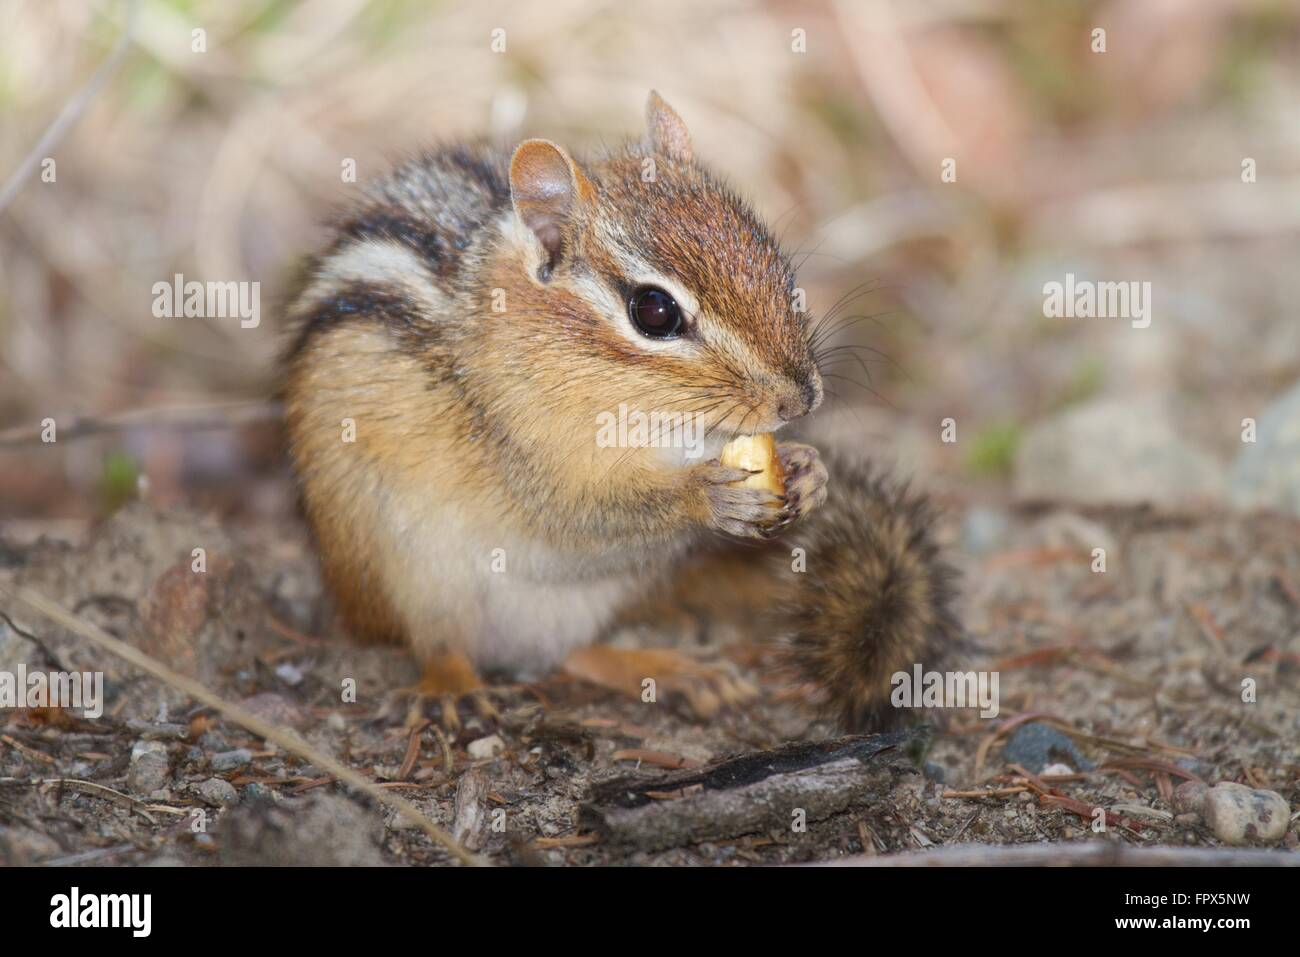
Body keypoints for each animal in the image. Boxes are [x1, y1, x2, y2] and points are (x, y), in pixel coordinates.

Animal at [281, 92, 959, 731]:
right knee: (439, 643)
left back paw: (672, 671)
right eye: (654, 312)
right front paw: (707, 496)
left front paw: (808, 470)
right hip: (409, 576)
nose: (802, 399)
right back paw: (454, 686)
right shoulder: (524, 454)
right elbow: (582, 512)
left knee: (574, 654)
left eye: (776, 263)